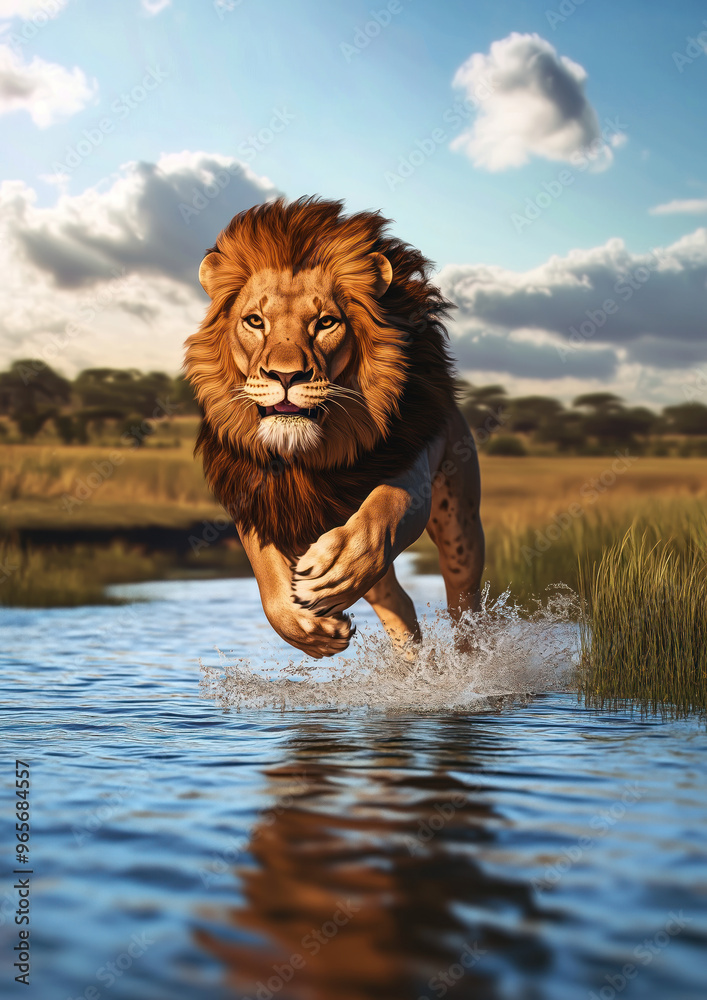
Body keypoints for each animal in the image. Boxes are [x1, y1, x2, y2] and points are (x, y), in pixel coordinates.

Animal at [185, 197, 484, 659]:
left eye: (325, 323)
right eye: (255, 321)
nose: (285, 375)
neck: (311, 453)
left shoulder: (408, 472)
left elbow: (382, 513)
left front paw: (337, 572)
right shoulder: (258, 493)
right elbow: (265, 572)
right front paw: (306, 627)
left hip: (460, 527)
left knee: (465, 604)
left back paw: (471, 663)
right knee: (399, 603)